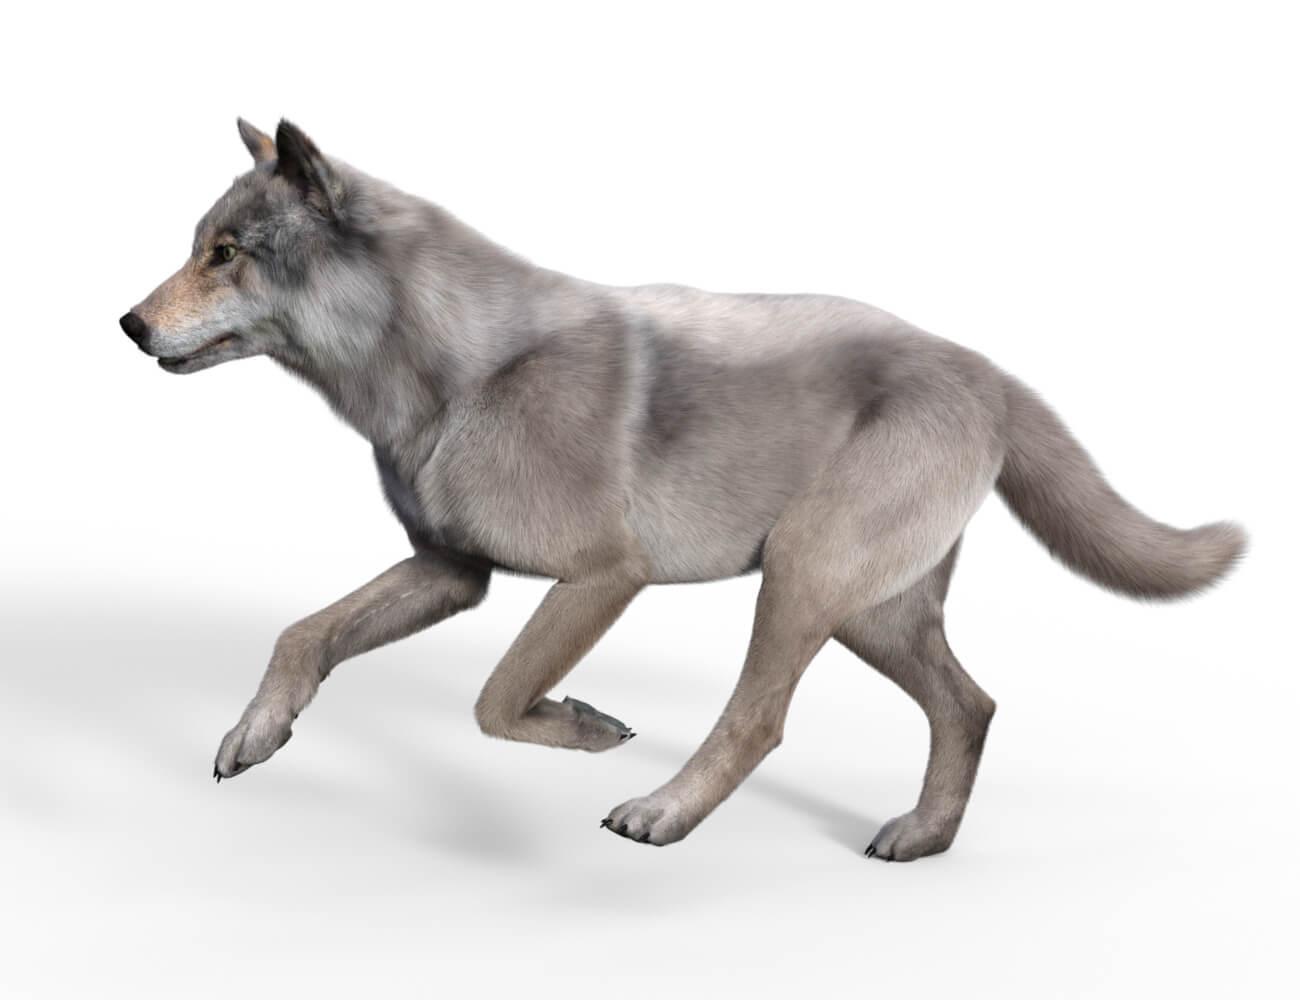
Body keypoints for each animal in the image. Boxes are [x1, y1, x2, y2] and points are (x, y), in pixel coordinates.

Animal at [120, 119, 1245, 860]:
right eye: (198, 247)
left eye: (226, 254)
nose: (127, 325)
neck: (448, 374)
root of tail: (994, 374)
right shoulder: (449, 570)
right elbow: (303, 634)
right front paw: (256, 733)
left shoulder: (602, 576)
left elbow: (495, 699)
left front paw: (583, 726)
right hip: (868, 613)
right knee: (971, 705)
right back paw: (923, 836)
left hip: (798, 581)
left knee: (760, 720)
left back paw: (662, 812)